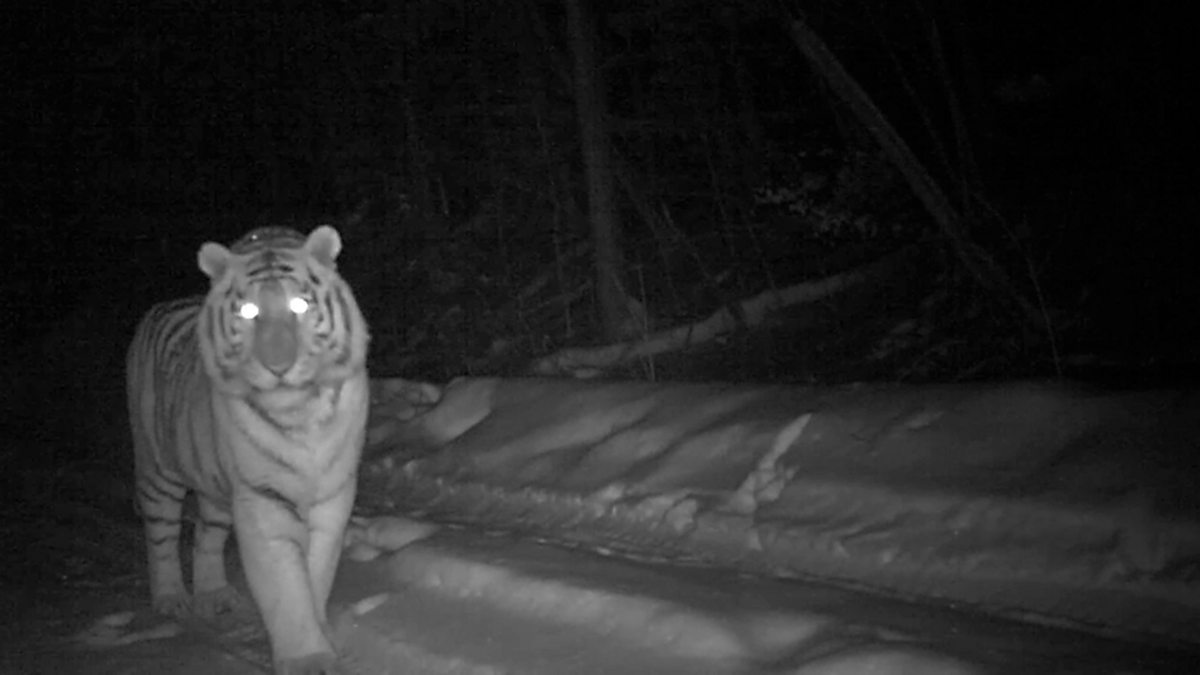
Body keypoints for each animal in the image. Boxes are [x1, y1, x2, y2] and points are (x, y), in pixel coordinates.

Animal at [126, 225, 370, 675]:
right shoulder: (262, 496)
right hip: (157, 467)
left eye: (299, 304)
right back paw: (171, 600)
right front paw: (308, 658)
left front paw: (321, 633)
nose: (279, 366)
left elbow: (316, 571)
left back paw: (214, 596)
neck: (300, 409)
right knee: (161, 534)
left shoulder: (333, 490)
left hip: (215, 486)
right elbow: (285, 584)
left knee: (207, 534)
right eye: (249, 311)